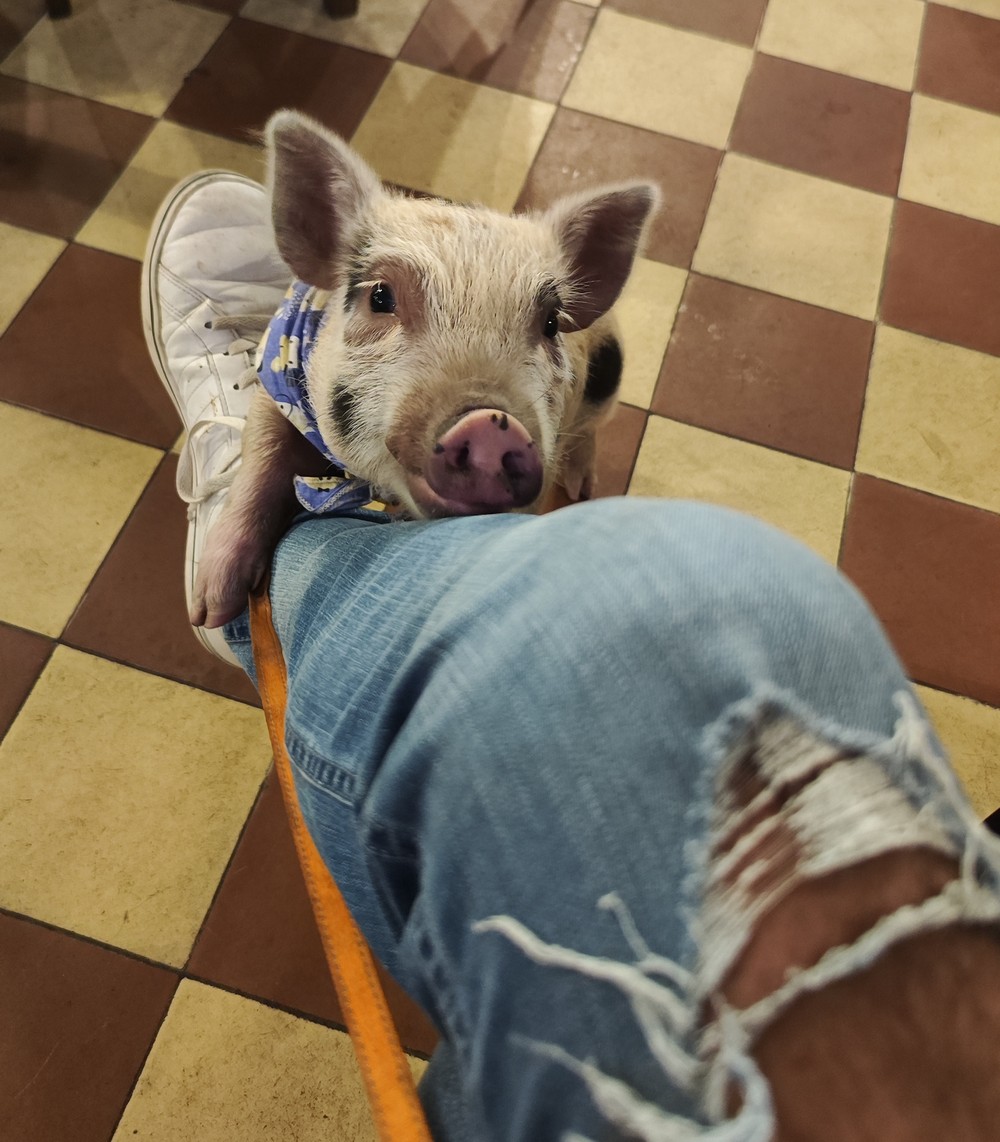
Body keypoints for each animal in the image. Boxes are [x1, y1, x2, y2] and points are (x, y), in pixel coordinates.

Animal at [192, 109, 659, 629]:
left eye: (552, 323)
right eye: (381, 297)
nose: (492, 422)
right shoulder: (279, 385)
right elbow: (261, 458)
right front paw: (208, 608)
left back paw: (582, 489)